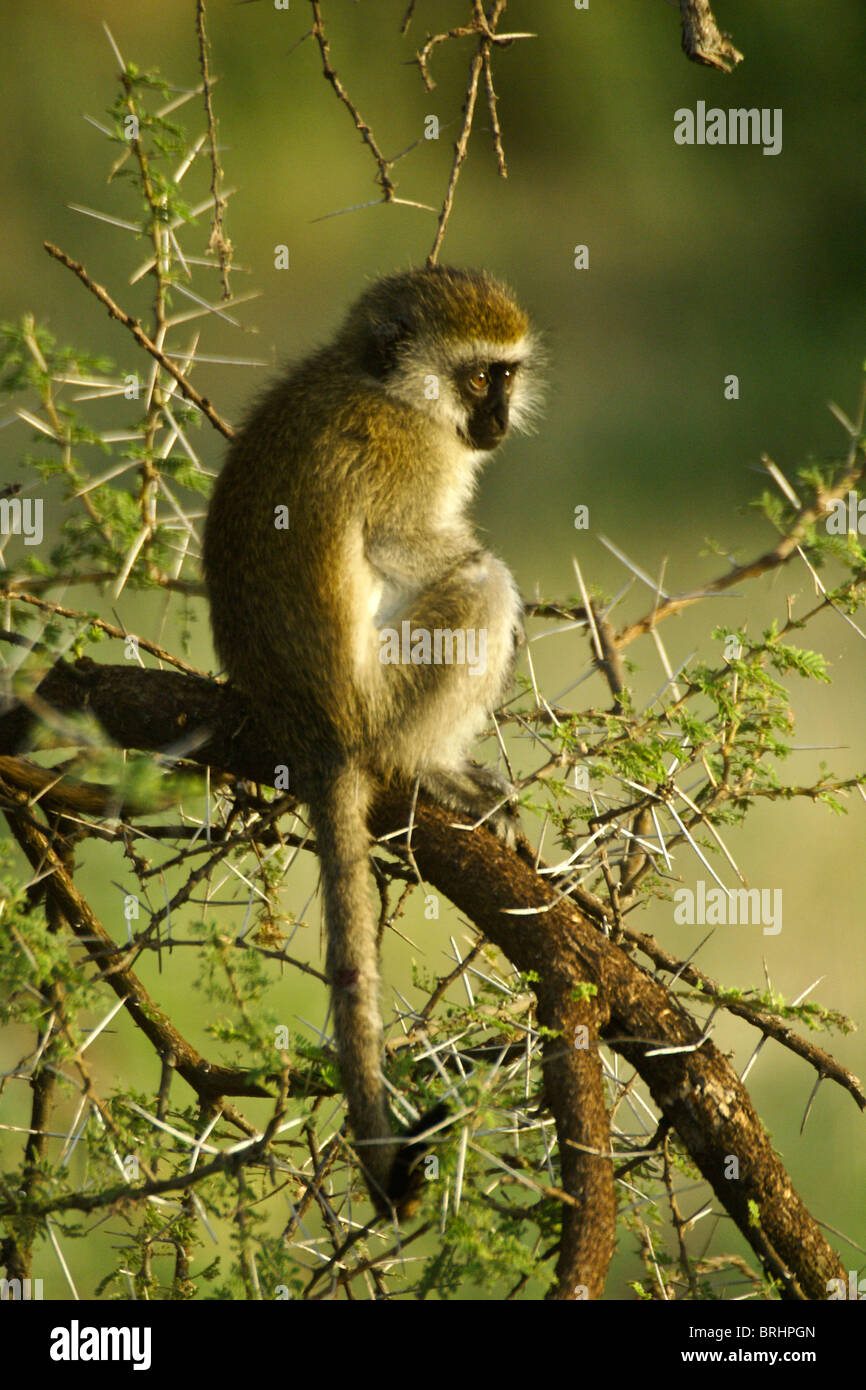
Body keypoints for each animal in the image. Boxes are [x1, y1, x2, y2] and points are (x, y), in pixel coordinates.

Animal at [202, 265, 539, 1216]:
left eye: (507, 375)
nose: (497, 420)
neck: (388, 387)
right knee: (479, 583)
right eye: (478, 377)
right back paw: (431, 768)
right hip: (385, 698)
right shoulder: (407, 457)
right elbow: (407, 544)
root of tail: (317, 730)